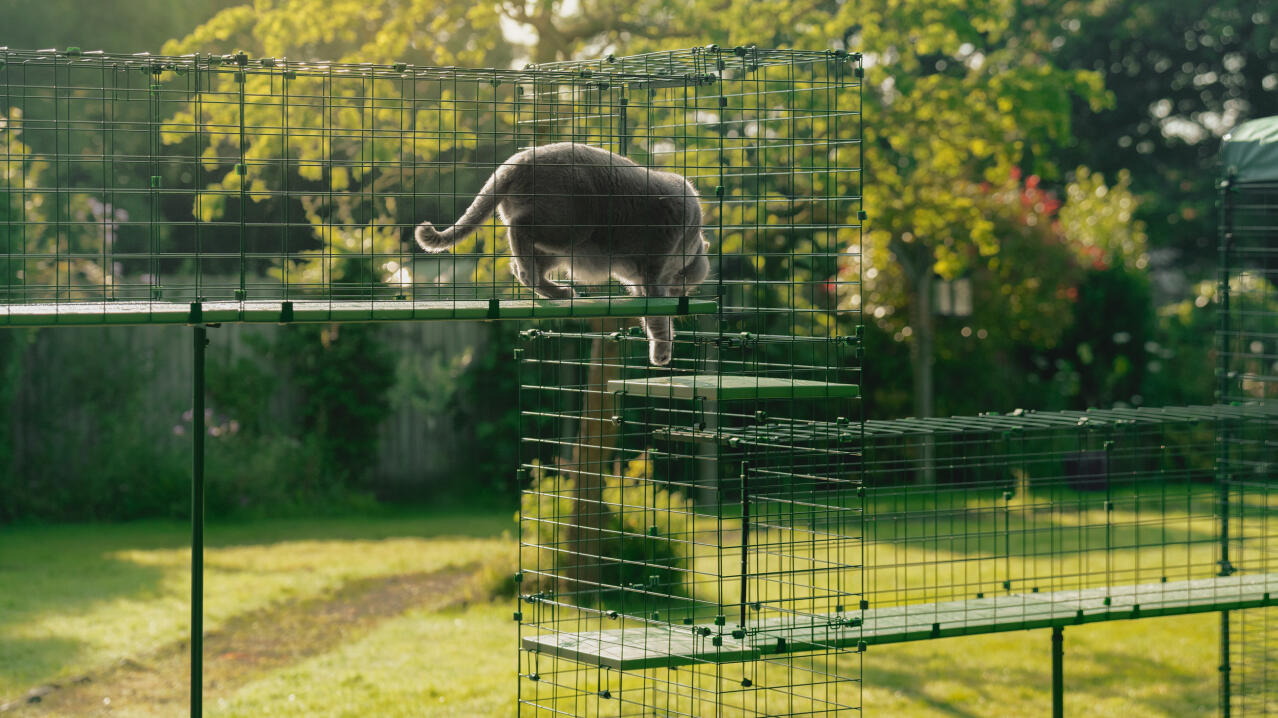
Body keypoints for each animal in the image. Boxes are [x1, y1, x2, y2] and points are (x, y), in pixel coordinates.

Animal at [414, 141, 710, 362]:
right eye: (683, 281)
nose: (678, 291)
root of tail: (519, 160)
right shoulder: (653, 272)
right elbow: (660, 321)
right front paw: (662, 353)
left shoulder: (641, 285)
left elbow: (651, 320)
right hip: (571, 227)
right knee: (519, 229)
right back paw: (550, 284)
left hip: (562, 247)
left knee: (522, 268)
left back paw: (559, 291)